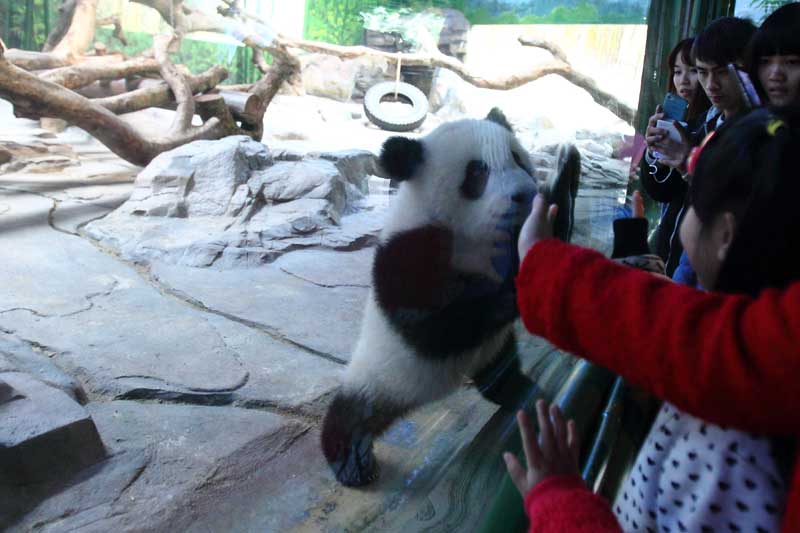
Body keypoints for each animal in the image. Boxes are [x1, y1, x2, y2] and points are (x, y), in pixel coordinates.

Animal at [321, 109, 581, 487]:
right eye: (477, 172)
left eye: (517, 158)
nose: (524, 194)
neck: (473, 231)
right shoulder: (411, 250)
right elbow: (432, 323)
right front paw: (506, 295)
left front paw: (567, 169)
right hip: (381, 374)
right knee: (354, 412)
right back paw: (351, 462)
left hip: (490, 351)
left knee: (499, 370)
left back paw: (519, 389)